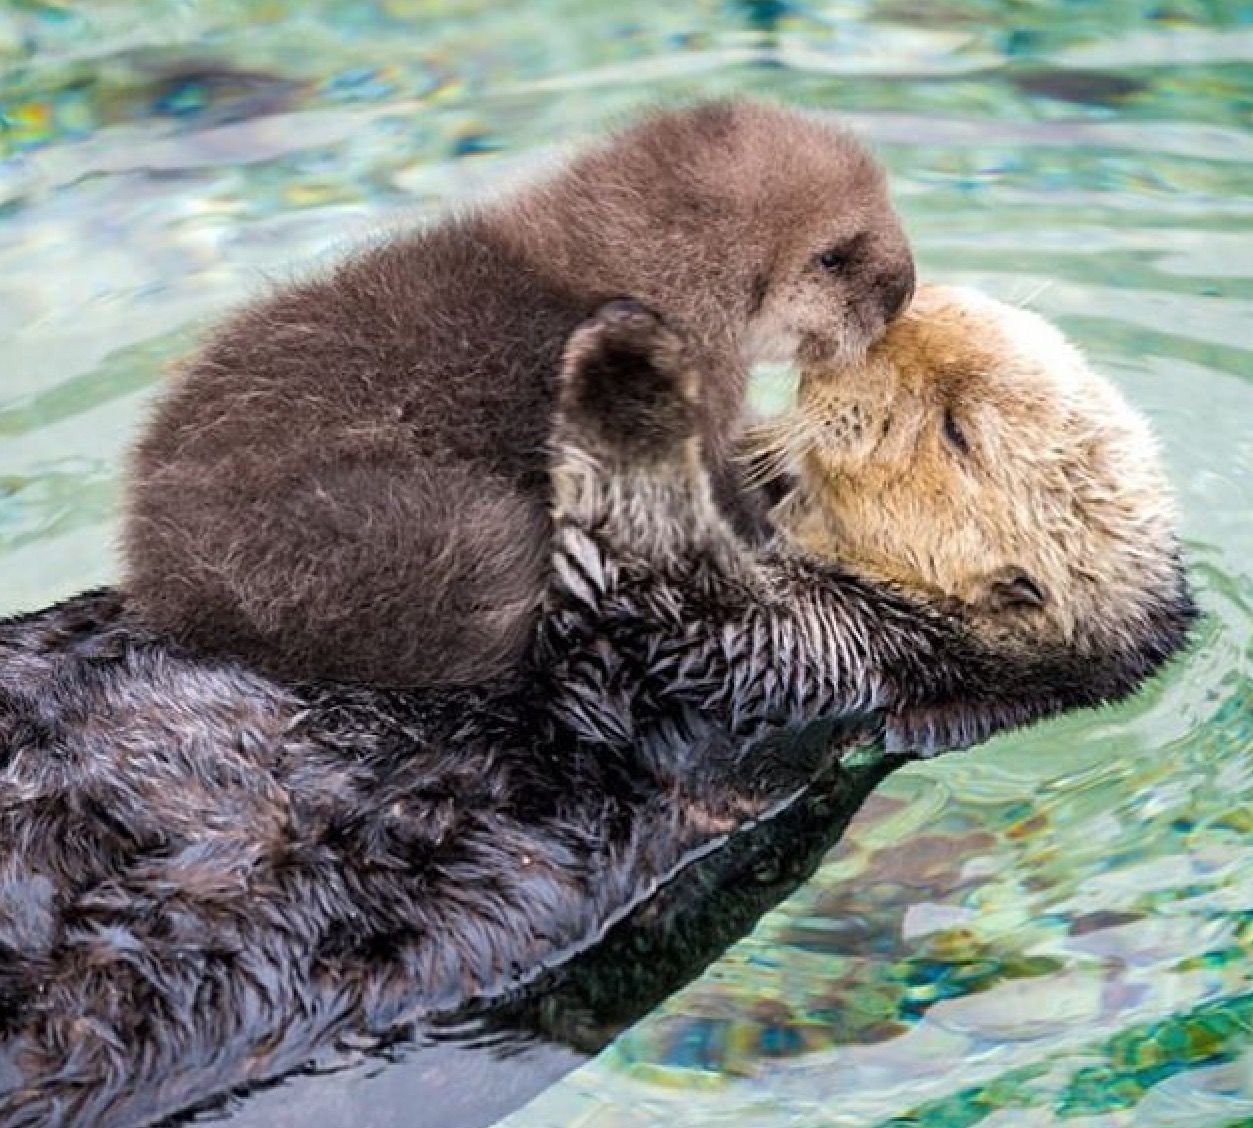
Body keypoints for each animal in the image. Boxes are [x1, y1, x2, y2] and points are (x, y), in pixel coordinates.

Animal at [121, 99, 916, 688]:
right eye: (833, 257)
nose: (904, 287)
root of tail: (167, 580)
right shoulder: (700, 396)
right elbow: (728, 497)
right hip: (424, 528)